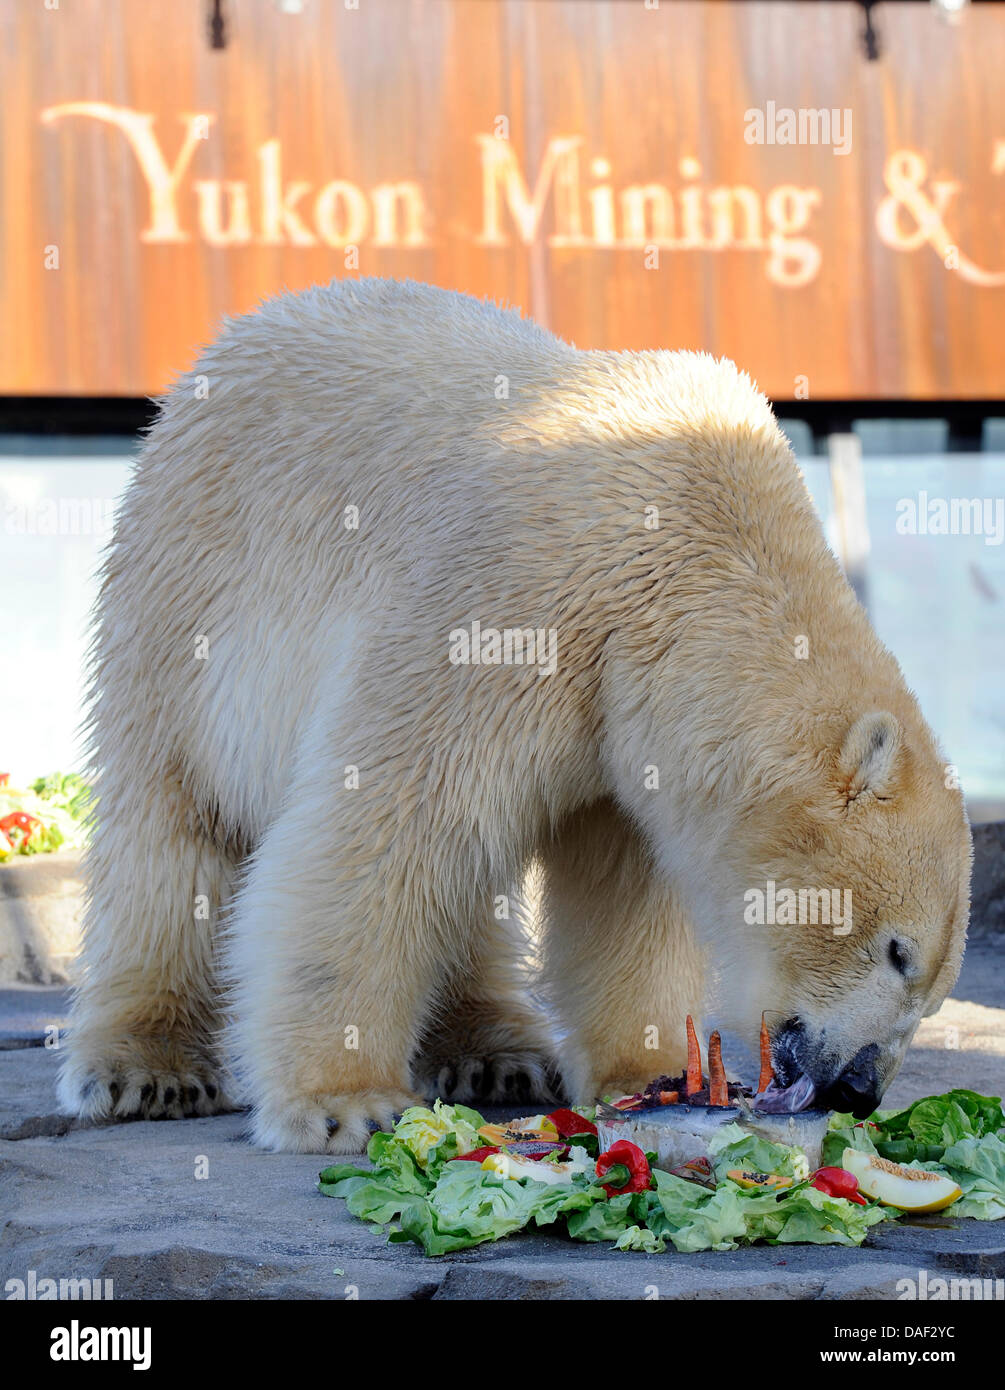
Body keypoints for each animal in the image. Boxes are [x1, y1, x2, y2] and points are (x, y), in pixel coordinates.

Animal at [57, 277, 972, 1153]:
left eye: (933, 989)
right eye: (896, 951)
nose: (859, 1089)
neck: (689, 550)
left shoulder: (621, 706)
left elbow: (618, 887)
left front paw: (644, 1069)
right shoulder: (512, 607)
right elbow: (384, 826)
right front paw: (341, 1100)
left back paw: (496, 1052)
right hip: (188, 592)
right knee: (172, 824)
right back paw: (148, 1065)